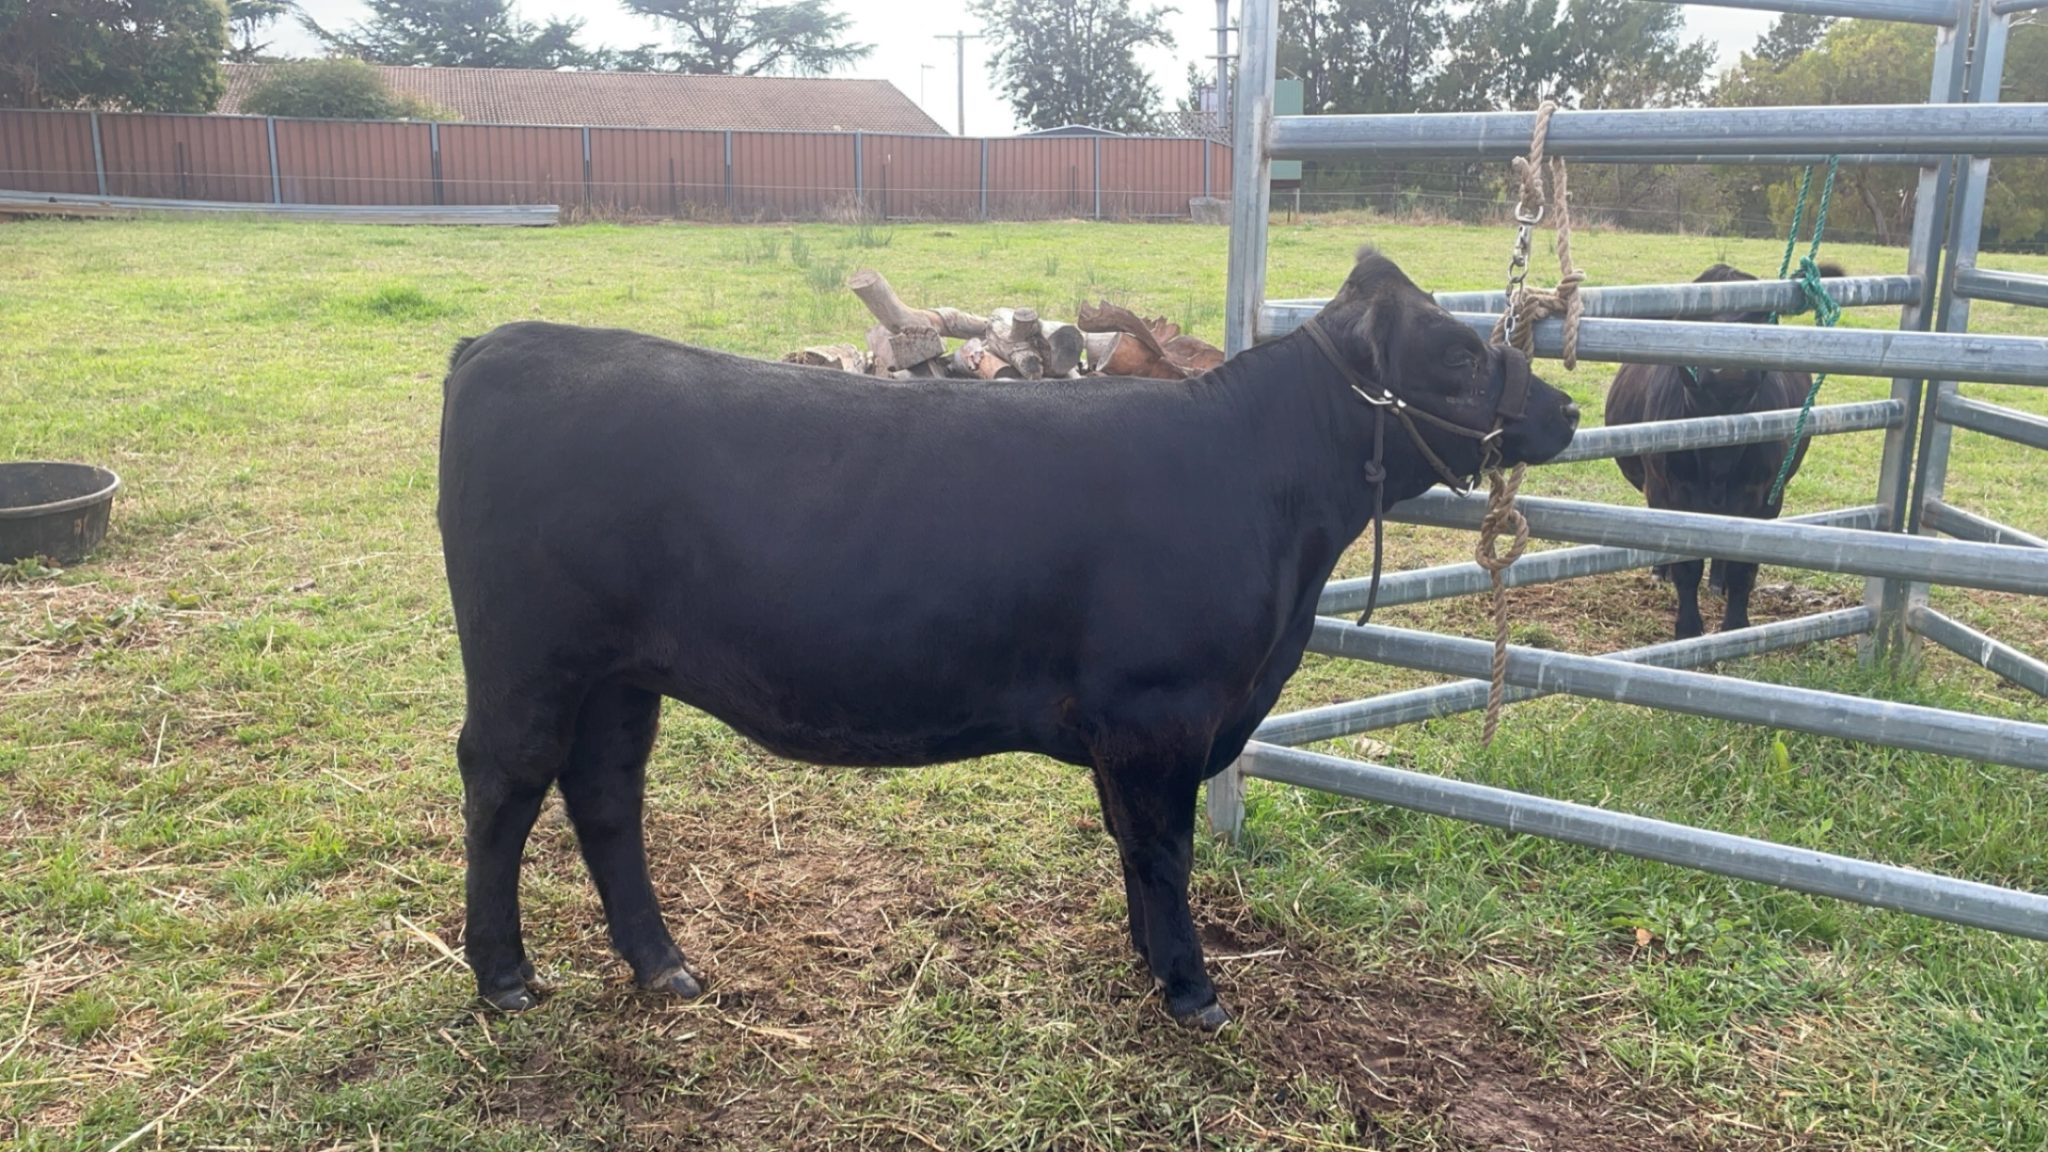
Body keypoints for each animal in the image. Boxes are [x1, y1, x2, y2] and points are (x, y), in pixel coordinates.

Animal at [436, 248, 1579, 1031]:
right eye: (1459, 351)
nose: (1565, 410)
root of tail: (500, 341)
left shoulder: (1135, 730)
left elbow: (1132, 847)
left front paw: (1149, 963)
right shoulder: (1159, 710)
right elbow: (1163, 849)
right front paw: (1193, 990)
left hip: (619, 675)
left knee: (604, 795)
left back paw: (661, 963)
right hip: (528, 659)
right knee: (504, 781)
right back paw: (503, 976)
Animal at [1604, 262, 1824, 640]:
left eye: (1761, 316)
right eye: (1694, 319)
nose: (1730, 366)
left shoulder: (1764, 498)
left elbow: (1741, 565)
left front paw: (1736, 626)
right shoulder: (1668, 492)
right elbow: (1686, 565)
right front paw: (1688, 629)